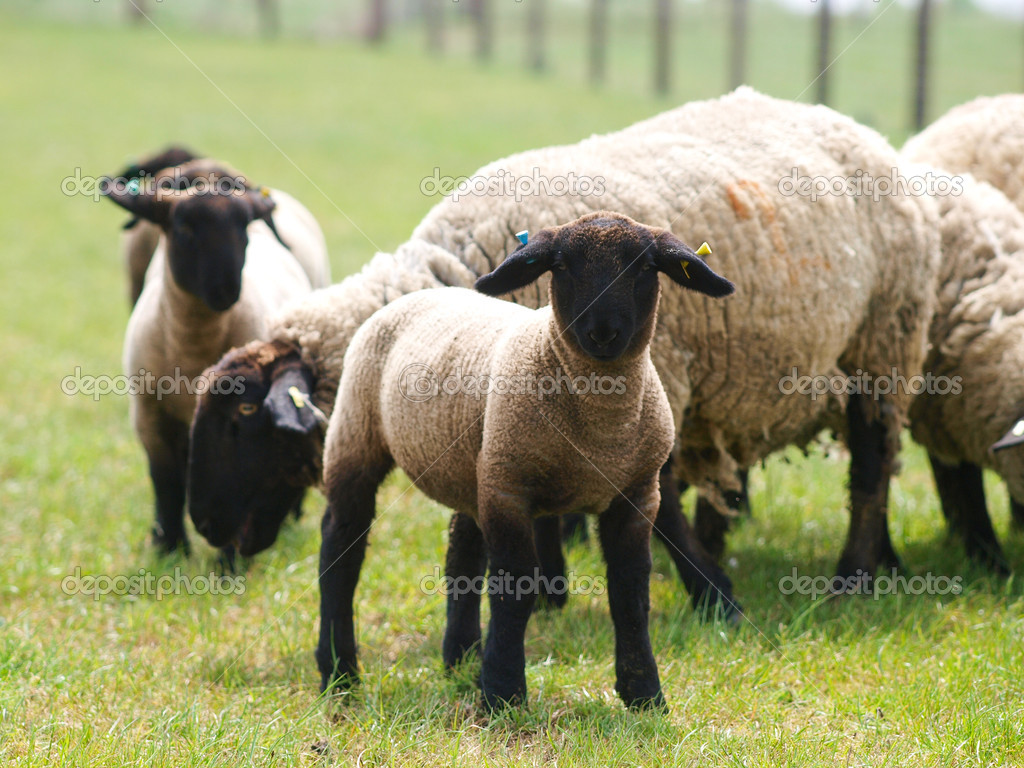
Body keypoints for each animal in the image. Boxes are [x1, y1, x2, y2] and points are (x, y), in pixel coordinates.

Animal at [103, 160, 330, 553]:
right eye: (184, 229)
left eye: (244, 232)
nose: (226, 291)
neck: (193, 343)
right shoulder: (150, 416)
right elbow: (166, 481)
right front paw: (169, 547)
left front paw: (228, 558)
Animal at [316, 211, 735, 710]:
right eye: (562, 265)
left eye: (644, 267)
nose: (603, 332)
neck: (600, 431)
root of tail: (420, 292)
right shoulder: (508, 490)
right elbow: (515, 588)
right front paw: (503, 692)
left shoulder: (636, 495)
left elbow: (631, 592)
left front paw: (644, 693)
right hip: (357, 436)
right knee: (341, 551)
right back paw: (338, 671)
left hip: (472, 463)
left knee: (461, 555)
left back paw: (460, 659)